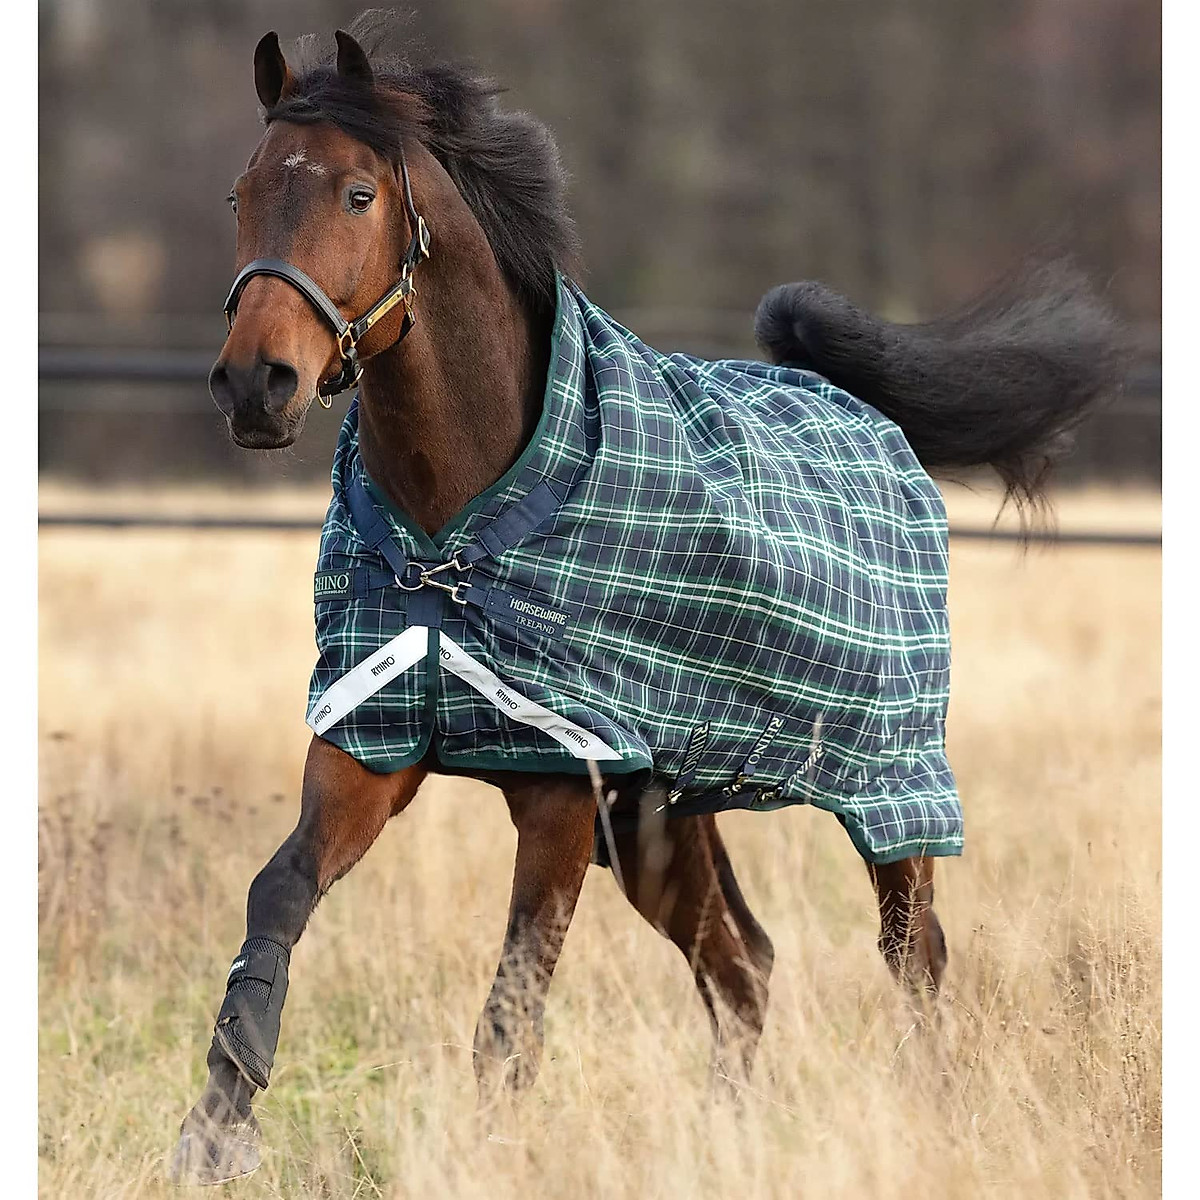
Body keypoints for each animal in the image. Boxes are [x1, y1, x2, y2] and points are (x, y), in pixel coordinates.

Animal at [171, 18, 1122, 1185]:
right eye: (243, 193)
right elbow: (279, 897)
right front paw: (214, 1133)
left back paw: (934, 1121)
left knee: (913, 955)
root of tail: (863, 410)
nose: (255, 386)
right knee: (745, 967)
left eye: (357, 194)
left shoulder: (560, 789)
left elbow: (513, 1006)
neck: (458, 535)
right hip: (664, 818)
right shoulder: (372, 738)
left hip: (888, 784)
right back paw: (731, 1141)